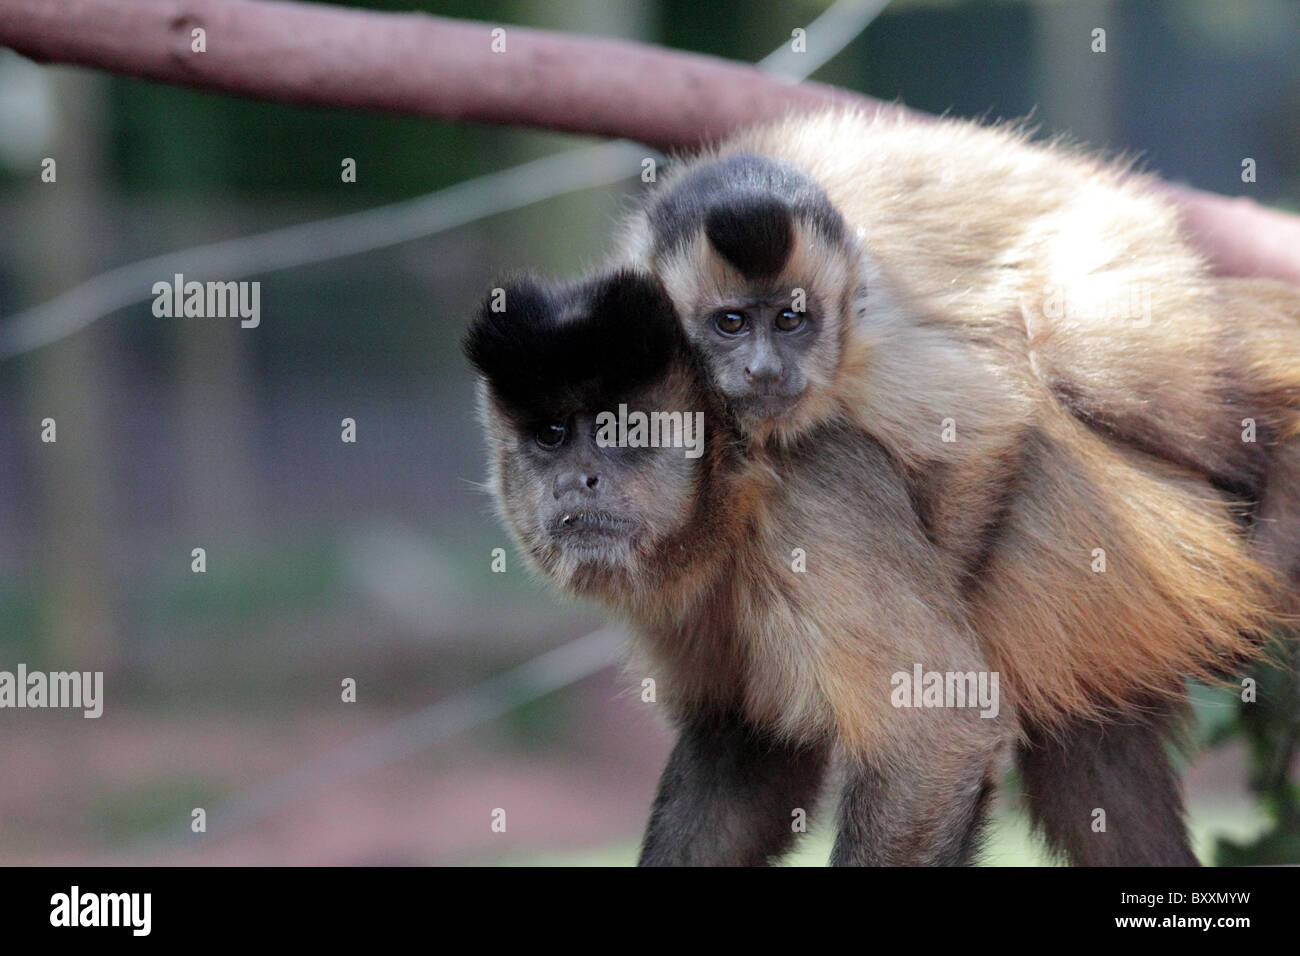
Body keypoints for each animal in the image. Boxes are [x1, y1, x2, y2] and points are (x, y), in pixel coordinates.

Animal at [464, 269, 1008, 865]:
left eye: (615, 430)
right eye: (552, 435)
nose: (573, 482)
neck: (736, 482)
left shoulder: (816, 497)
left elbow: (935, 736)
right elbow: (743, 750)